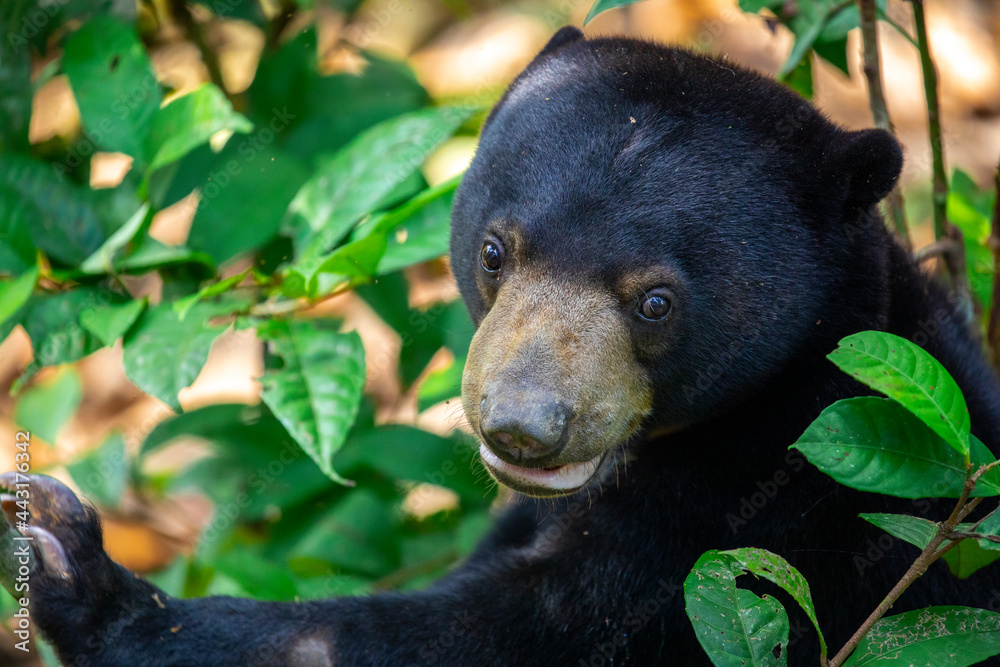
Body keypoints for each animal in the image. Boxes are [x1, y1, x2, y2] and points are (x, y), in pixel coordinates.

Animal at [3, 26, 1000, 666]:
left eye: (655, 301)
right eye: (495, 249)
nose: (524, 425)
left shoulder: (746, 537)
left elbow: (488, 636)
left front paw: (74, 569)